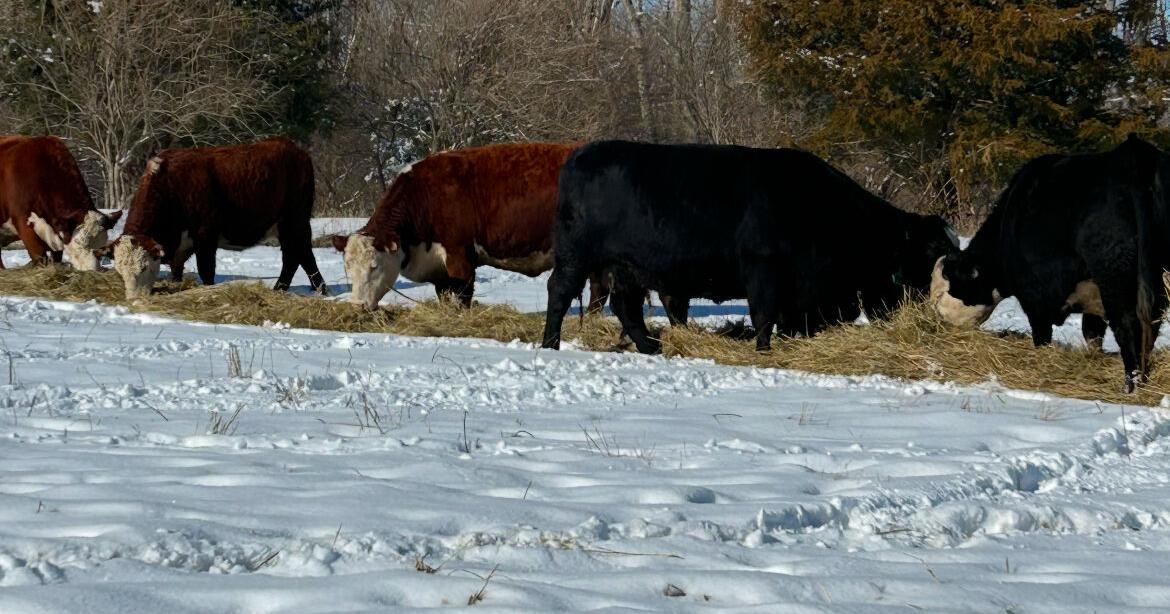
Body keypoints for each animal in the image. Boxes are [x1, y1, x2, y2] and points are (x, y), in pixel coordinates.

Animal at [0, 135, 121, 270]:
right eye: (78, 242)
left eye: (101, 245)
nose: (93, 269)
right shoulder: (24, 224)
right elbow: (40, 258)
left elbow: (56, 258)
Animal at [113, 137, 326, 300]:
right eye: (120, 271)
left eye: (144, 267)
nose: (133, 299)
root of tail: (294, 148)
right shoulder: (181, 246)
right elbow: (176, 271)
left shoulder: (206, 235)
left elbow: (206, 270)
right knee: (299, 256)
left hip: (294, 221)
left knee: (298, 255)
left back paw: (305, 290)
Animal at [332, 142, 609, 310]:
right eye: (347, 267)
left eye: (374, 265)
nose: (357, 305)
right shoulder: (440, 270)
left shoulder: (461, 258)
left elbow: (463, 299)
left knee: (599, 289)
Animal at [541, 141, 958, 354]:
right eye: (927, 257)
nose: (922, 313)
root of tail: (581, 154)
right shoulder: (763, 270)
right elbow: (764, 315)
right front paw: (763, 349)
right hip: (576, 256)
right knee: (559, 293)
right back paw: (550, 343)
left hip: (626, 267)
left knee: (625, 307)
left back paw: (650, 346)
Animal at [931, 134, 1168, 393]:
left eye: (942, 294)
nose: (937, 323)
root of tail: (1132, 156)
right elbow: (1092, 332)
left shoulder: (1035, 296)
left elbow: (1042, 334)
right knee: (1152, 319)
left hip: (1114, 273)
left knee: (1128, 323)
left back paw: (1130, 385)